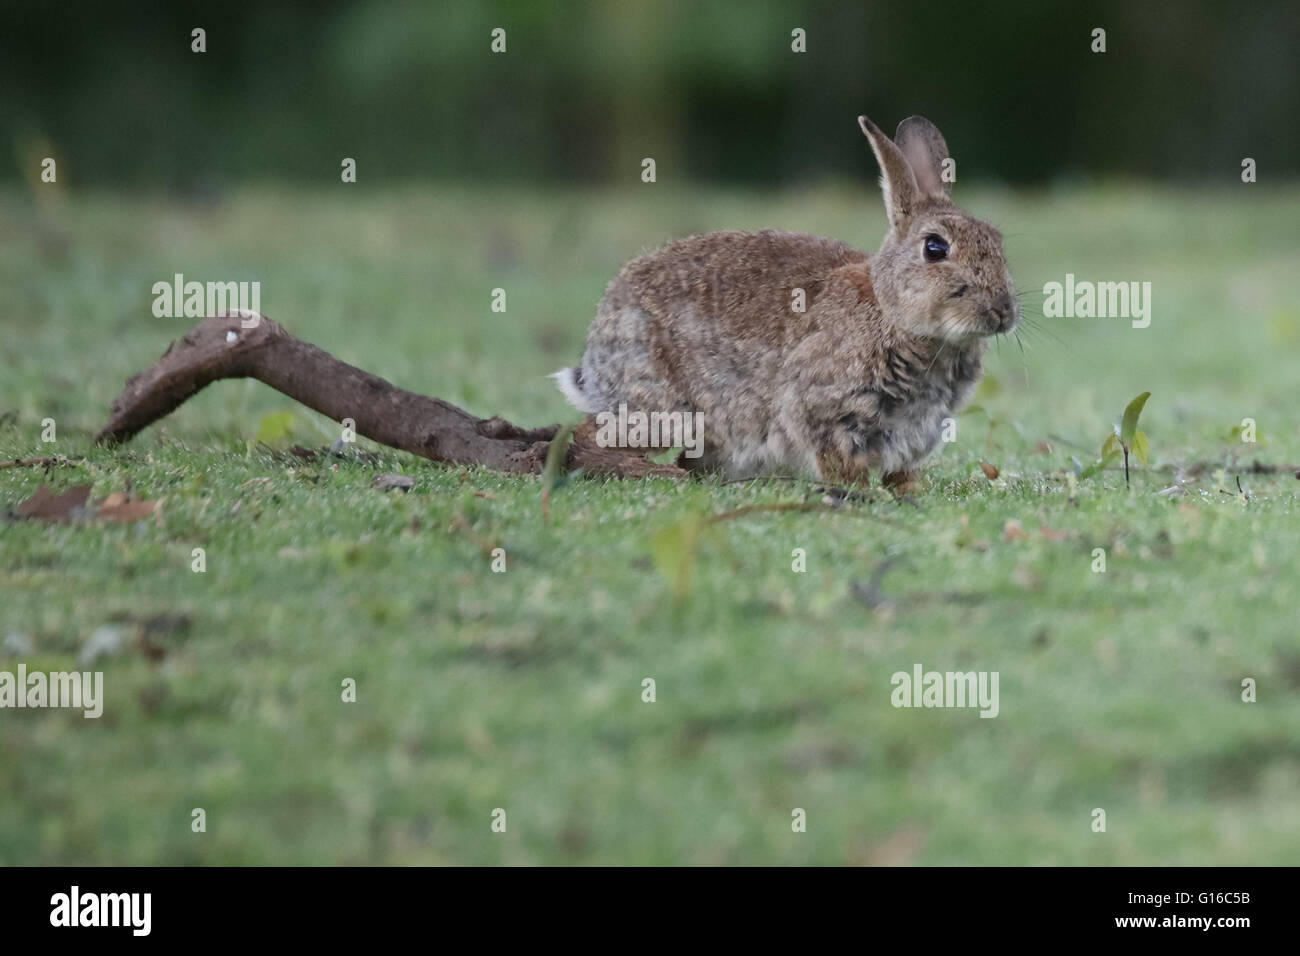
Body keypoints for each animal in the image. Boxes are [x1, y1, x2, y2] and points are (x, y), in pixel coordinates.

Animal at [553, 114, 1019, 491]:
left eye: (998, 243)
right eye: (935, 248)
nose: (1003, 312)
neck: (891, 313)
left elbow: (901, 473)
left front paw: (907, 492)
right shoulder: (823, 409)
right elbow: (837, 460)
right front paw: (857, 492)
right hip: (663, 411)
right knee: (588, 436)